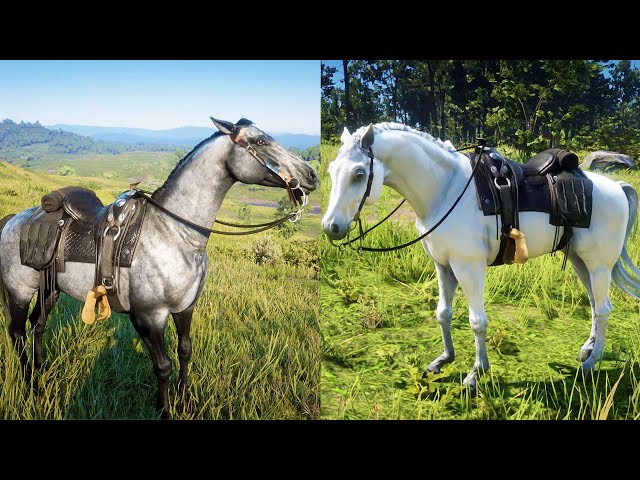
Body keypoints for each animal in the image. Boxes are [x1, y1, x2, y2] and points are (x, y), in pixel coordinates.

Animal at [0, 117, 318, 418]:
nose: (311, 175)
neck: (176, 233)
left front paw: (185, 400)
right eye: (261, 141)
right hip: (19, 291)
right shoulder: (148, 316)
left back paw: (41, 373)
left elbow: (185, 351)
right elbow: (162, 366)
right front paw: (164, 409)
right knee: (17, 331)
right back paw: (31, 385)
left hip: (50, 289)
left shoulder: (185, 307)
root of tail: (14, 219)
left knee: (38, 325)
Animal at [322, 122, 640, 392]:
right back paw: (588, 349)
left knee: (603, 309)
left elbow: (477, 321)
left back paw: (591, 362)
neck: (445, 190)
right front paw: (443, 360)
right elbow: (443, 313)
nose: (331, 227)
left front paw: (477, 372)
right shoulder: (443, 265)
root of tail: (616, 187)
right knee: (593, 303)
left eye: (359, 174)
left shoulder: (469, 267)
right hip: (579, 260)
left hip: (599, 265)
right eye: (331, 170)